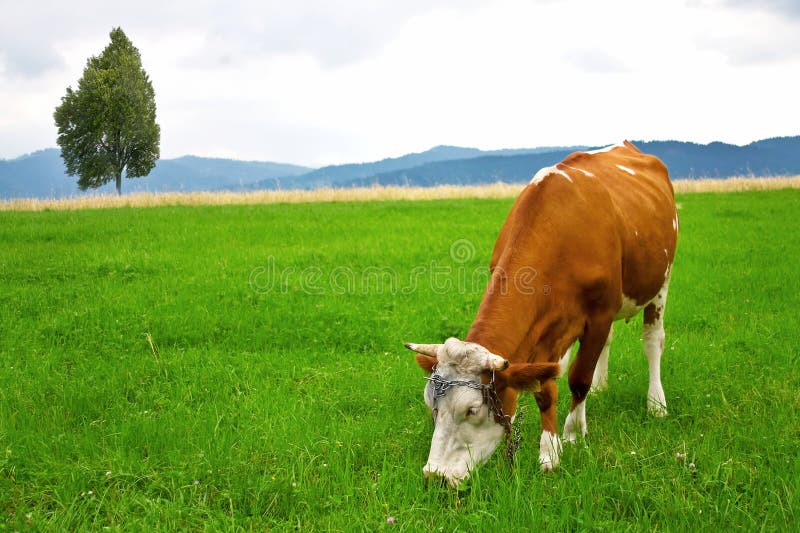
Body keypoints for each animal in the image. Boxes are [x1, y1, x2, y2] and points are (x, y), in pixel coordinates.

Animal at [406, 141, 678, 486]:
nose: (435, 475)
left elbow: (578, 378)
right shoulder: (544, 329)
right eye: (431, 405)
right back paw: (601, 387)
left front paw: (571, 436)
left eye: (472, 410)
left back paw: (656, 403)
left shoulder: (600, 315)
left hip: (661, 282)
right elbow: (546, 387)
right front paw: (551, 448)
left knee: (652, 342)